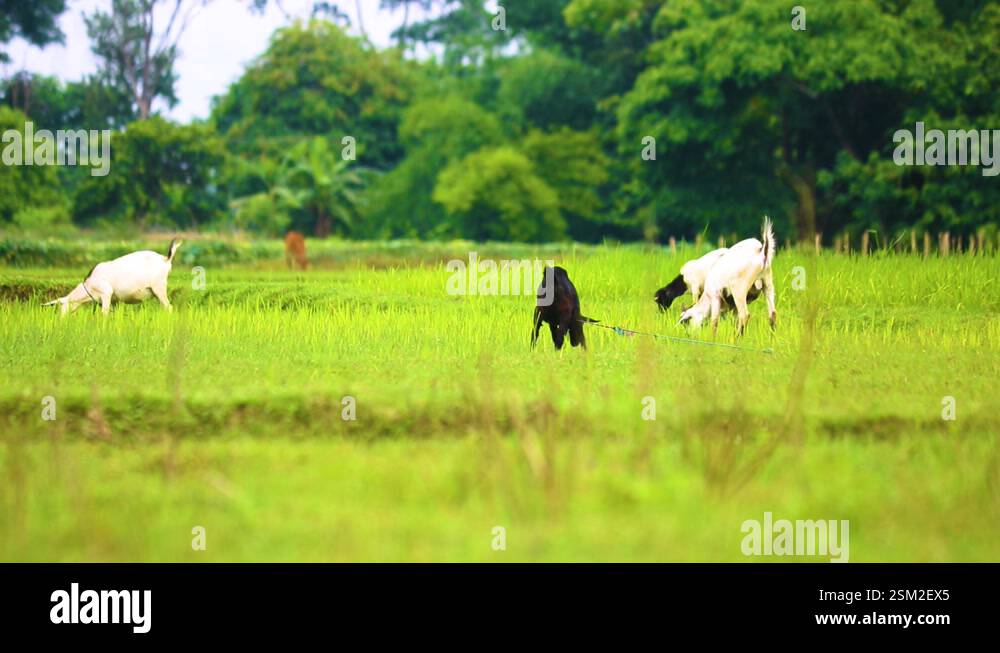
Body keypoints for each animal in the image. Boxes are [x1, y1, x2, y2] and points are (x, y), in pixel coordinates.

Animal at [43, 240, 182, 315]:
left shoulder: (106, 293)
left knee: (169, 307)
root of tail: (165, 259)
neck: (89, 286)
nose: (61, 320)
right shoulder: (115, 301)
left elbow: (104, 314)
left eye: (61, 306)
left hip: (159, 288)